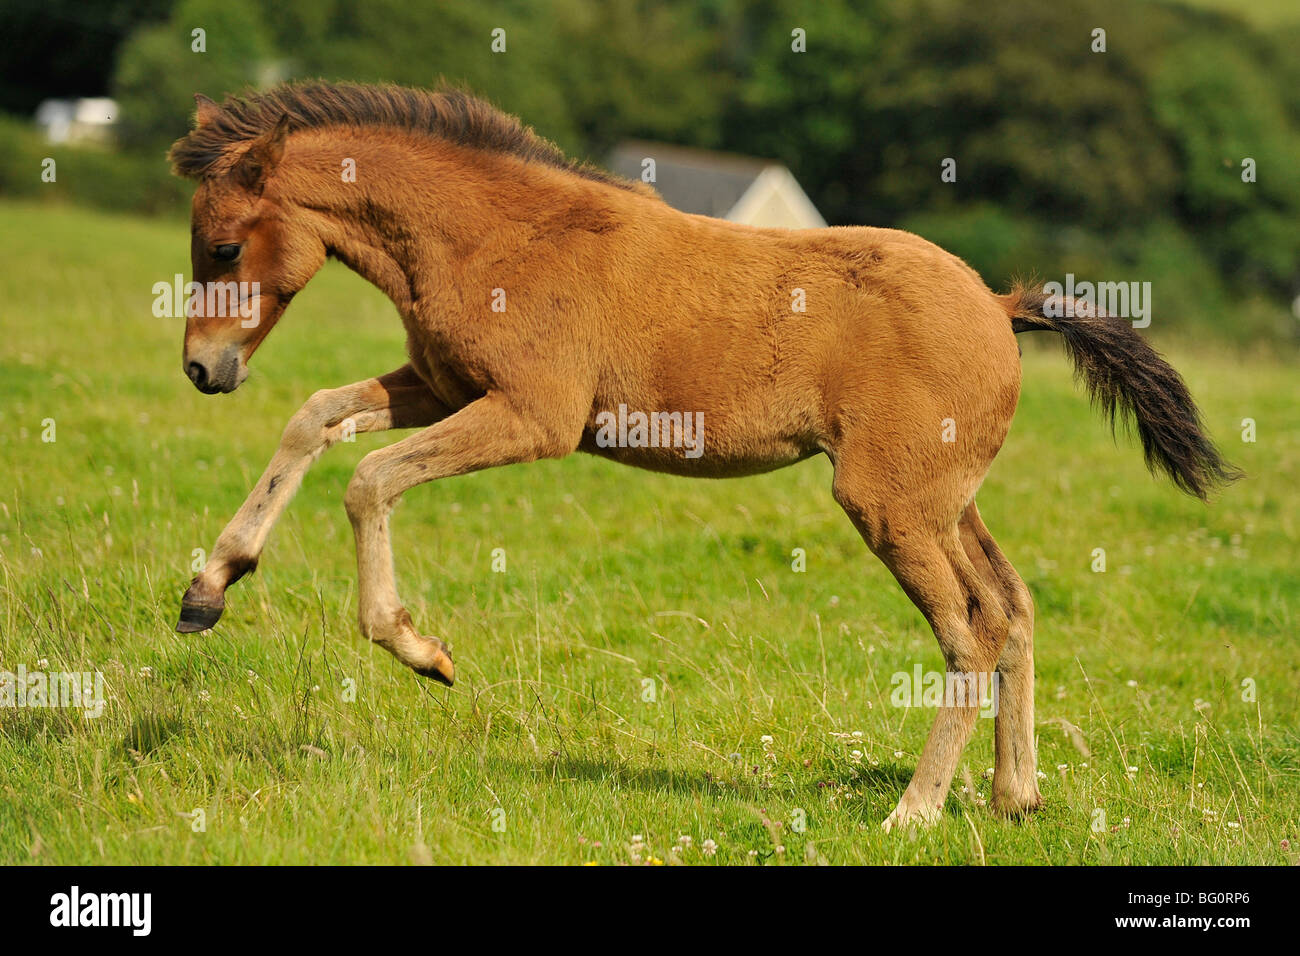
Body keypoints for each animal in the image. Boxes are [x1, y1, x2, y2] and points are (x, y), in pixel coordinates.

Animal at [168, 82, 1238, 830]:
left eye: (222, 248)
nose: (203, 369)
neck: (497, 238)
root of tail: (1001, 304)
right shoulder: (443, 385)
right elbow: (313, 419)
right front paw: (209, 589)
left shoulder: (532, 415)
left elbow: (369, 480)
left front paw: (420, 650)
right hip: (943, 499)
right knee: (1012, 607)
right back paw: (1016, 796)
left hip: (890, 503)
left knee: (968, 630)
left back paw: (916, 810)